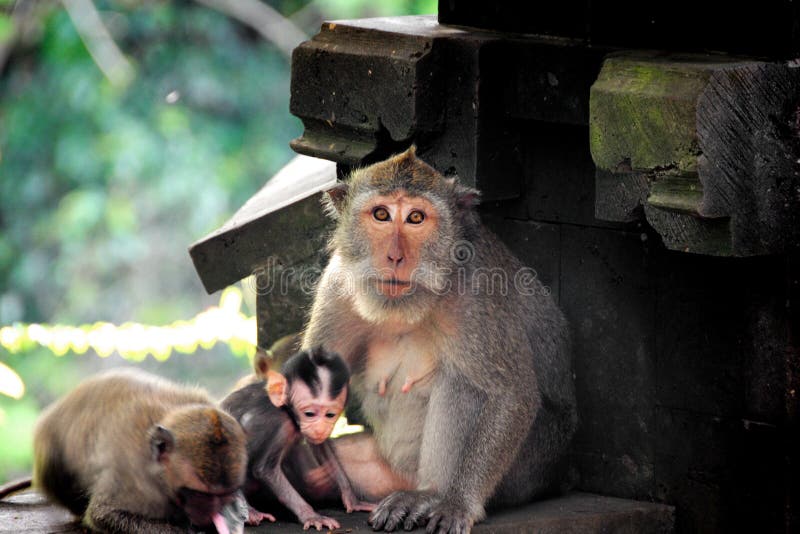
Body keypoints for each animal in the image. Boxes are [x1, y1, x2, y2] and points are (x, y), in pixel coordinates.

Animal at [219, 346, 375, 531]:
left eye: (330, 415)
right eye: (309, 413)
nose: (320, 428)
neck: (287, 409)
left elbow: (320, 446)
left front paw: (351, 498)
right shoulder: (282, 424)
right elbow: (266, 470)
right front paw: (311, 516)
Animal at [301, 146, 577, 533]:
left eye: (415, 217)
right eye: (382, 214)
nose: (395, 257)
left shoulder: (477, 290)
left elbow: (509, 394)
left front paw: (457, 503)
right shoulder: (337, 285)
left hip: (532, 465)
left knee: (462, 384)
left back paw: (428, 495)